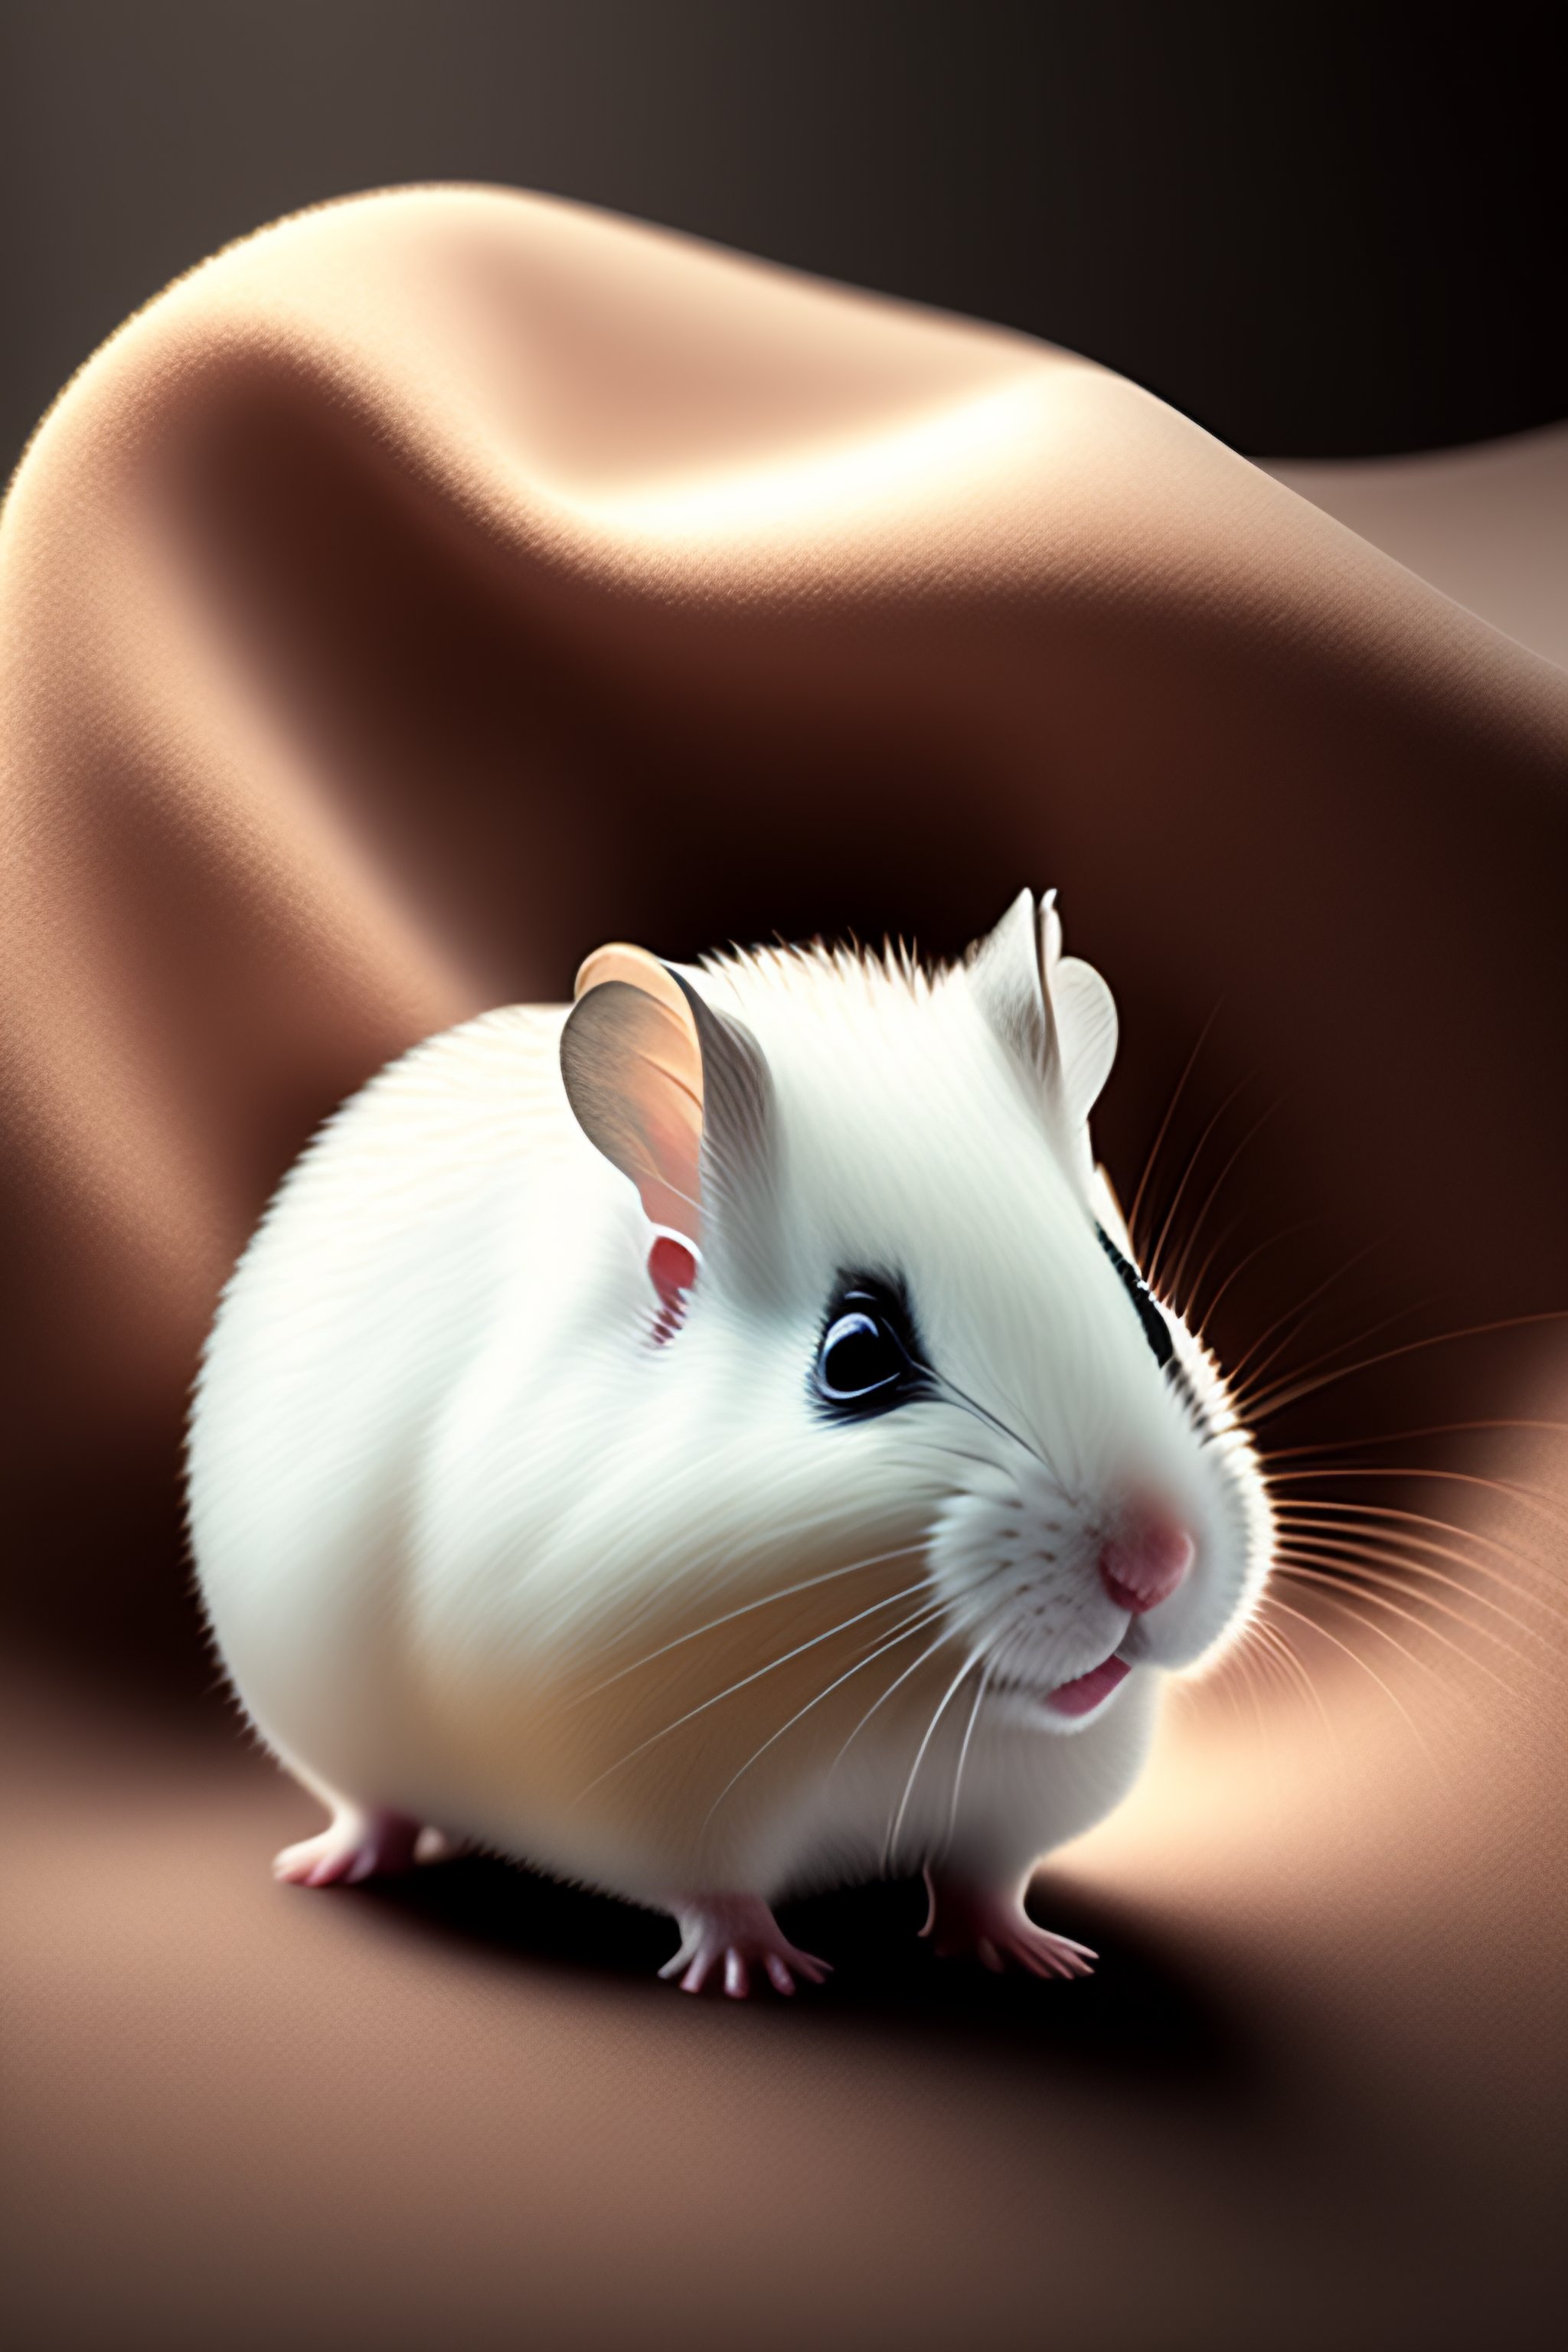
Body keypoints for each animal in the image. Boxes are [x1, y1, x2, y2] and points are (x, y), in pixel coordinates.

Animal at [187, 890, 1272, 1996]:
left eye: (1146, 1312)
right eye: (855, 1356)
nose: (1156, 1567)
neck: (889, 1699)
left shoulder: (1019, 1806)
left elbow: (986, 1879)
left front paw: (1035, 1955)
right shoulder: (646, 1787)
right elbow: (715, 1893)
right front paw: (761, 1973)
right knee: (370, 1805)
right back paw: (329, 1863)